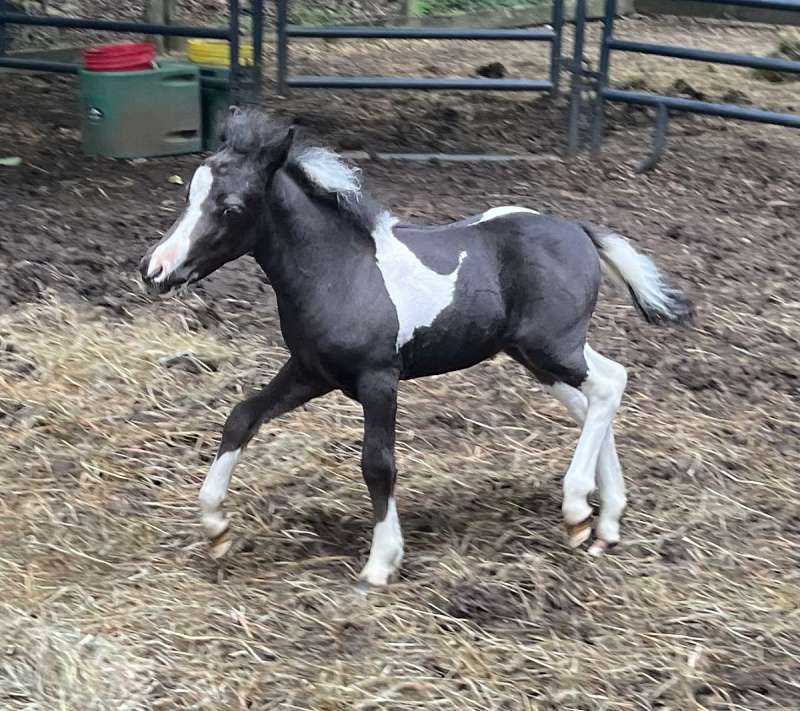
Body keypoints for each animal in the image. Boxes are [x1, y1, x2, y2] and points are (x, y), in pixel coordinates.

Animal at [139, 107, 692, 588]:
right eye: (188, 193)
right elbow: (242, 417)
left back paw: (579, 509)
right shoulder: (310, 372)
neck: (341, 270)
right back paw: (606, 524)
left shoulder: (378, 377)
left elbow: (378, 463)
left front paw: (381, 563)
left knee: (610, 383)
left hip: (553, 346)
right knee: (594, 399)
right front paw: (216, 527)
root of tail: (577, 229)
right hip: (538, 354)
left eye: (231, 208)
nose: (155, 269)